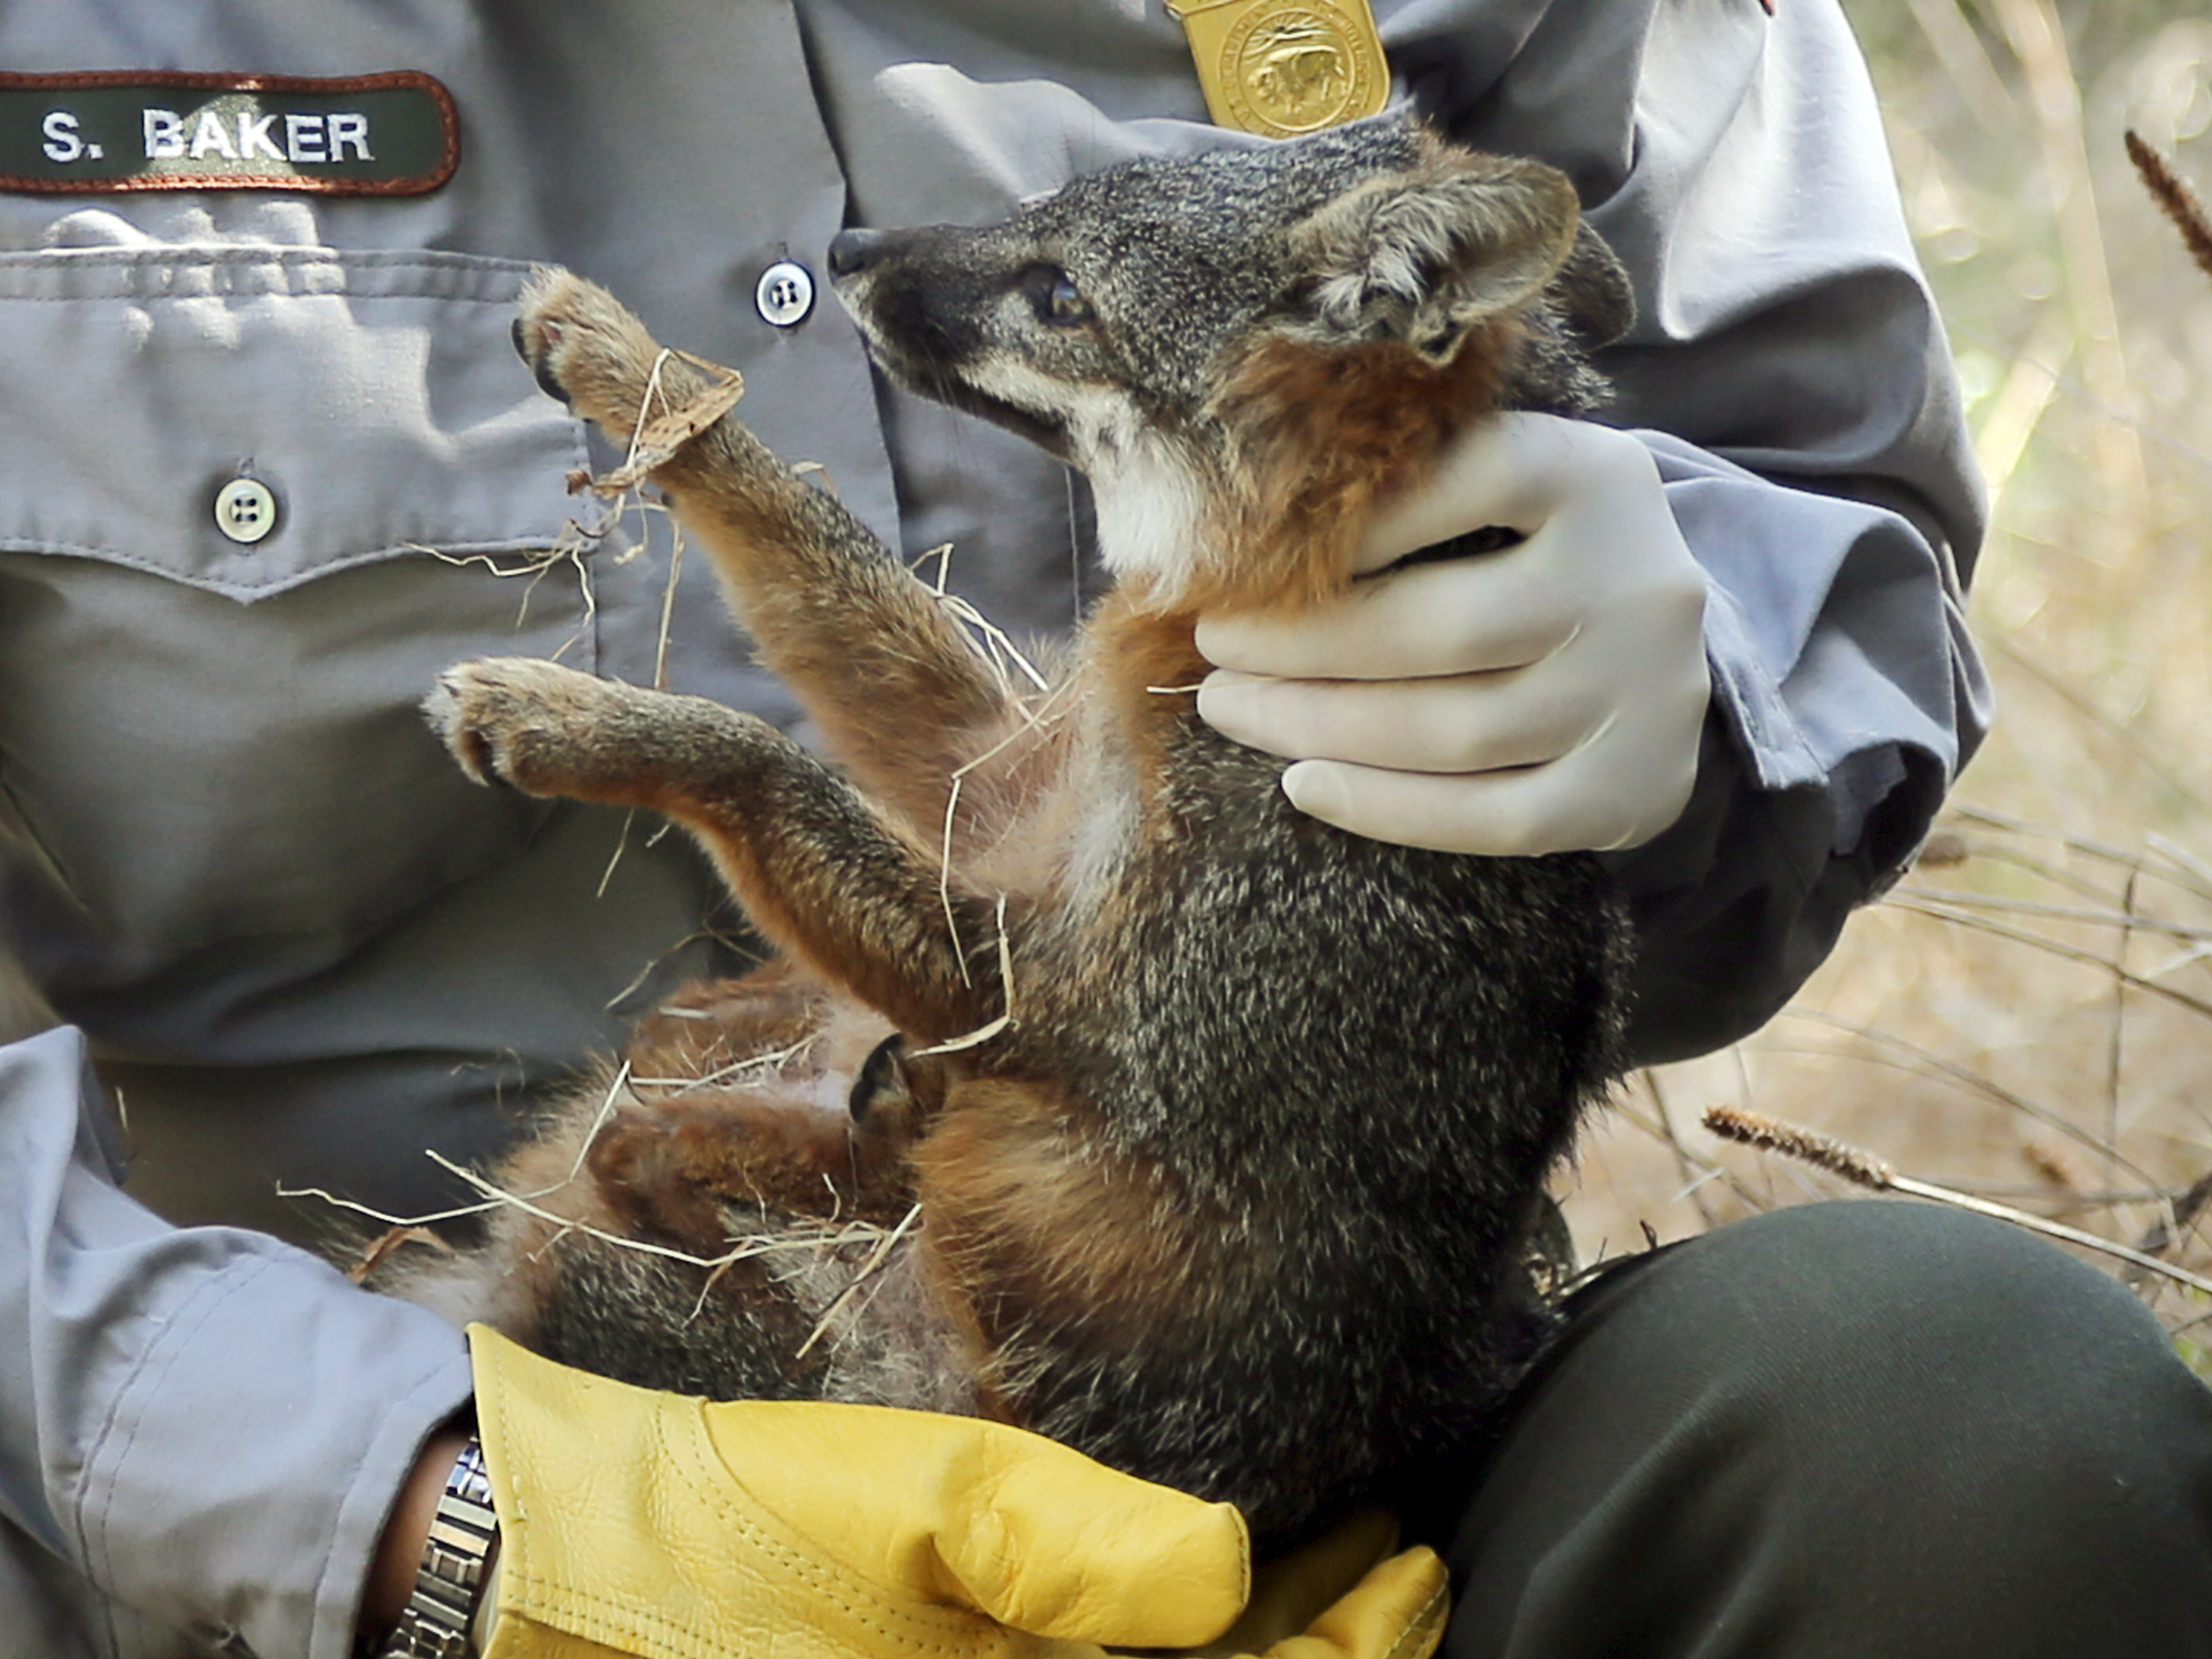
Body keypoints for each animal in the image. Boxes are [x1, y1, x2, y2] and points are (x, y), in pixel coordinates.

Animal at [401, 113, 1636, 1548]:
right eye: (1044, 201)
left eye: (1061, 298)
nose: (848, 249)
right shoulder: (993, 785)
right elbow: (810, 546)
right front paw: (630, 360)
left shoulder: (1040, 993)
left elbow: (762, 759)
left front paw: (569, 719)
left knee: (673, 1181)